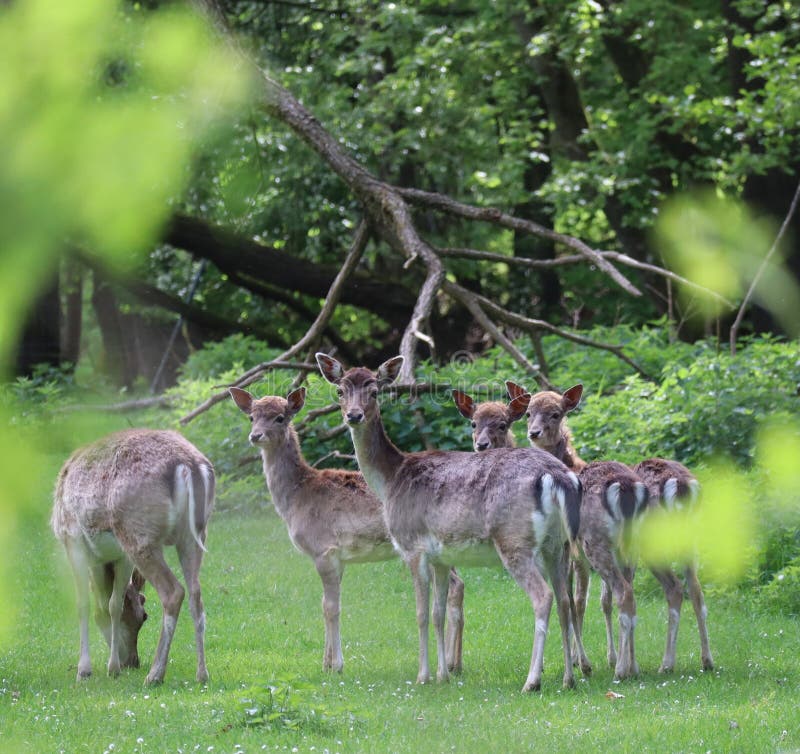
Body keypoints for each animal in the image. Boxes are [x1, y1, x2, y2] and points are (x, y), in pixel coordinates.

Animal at [52, 429, 215, 685]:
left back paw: (155, 675)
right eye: (143, 616)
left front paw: (85, 670)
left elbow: (85, 603)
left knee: (174, 591)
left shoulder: (72, 539)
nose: (132, 661)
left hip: (138, 533)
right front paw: (113, 667)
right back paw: (202, 674)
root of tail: (189, 465)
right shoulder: (121, 556)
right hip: (194, 534)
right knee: (196, 594)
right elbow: (113, 604)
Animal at [228, 386, 465, 674]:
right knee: (459, 584)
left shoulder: (323, 549)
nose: (255, 436)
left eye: (280, 418)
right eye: (251, 417)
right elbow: (324, 604)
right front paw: (326, 662)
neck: (296, 498)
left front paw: (337, 665)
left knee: (455, 586)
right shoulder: (338, 557)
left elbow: (331, 607)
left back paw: (450, 664)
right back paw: (455, 663)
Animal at [316, 353, 585, 692]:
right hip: (557, 545)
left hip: (514, 540)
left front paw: (423, 676)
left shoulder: (412, 546)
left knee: (544, 597)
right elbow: (438, 612)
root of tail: (558, 476)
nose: (354, 415)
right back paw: (569, 679)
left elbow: (420, 613)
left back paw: (532, 681)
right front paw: (443, 675)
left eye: (375, 391)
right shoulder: (441, 557)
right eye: (340, 391)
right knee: (564, 600)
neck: (390, 480)